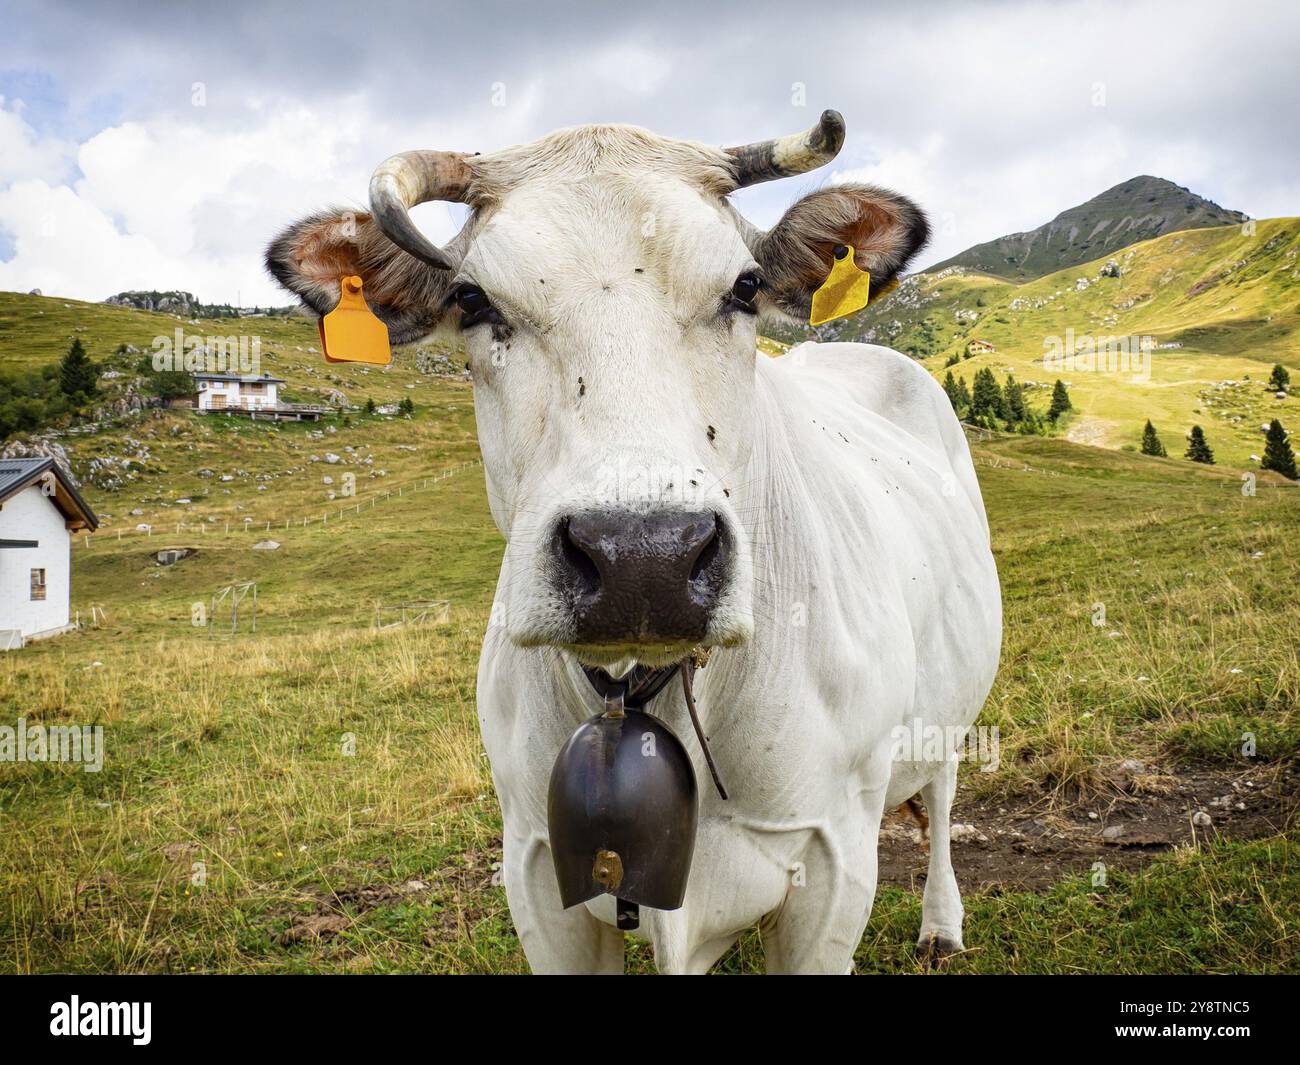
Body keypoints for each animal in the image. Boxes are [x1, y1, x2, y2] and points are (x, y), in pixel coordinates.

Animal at [267, 110, 1002, 974]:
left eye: (745, 287)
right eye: (472, 298)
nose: (642, 559)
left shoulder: (833, 867)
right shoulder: (537, 875)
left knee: (942, 792)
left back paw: (942, 921)